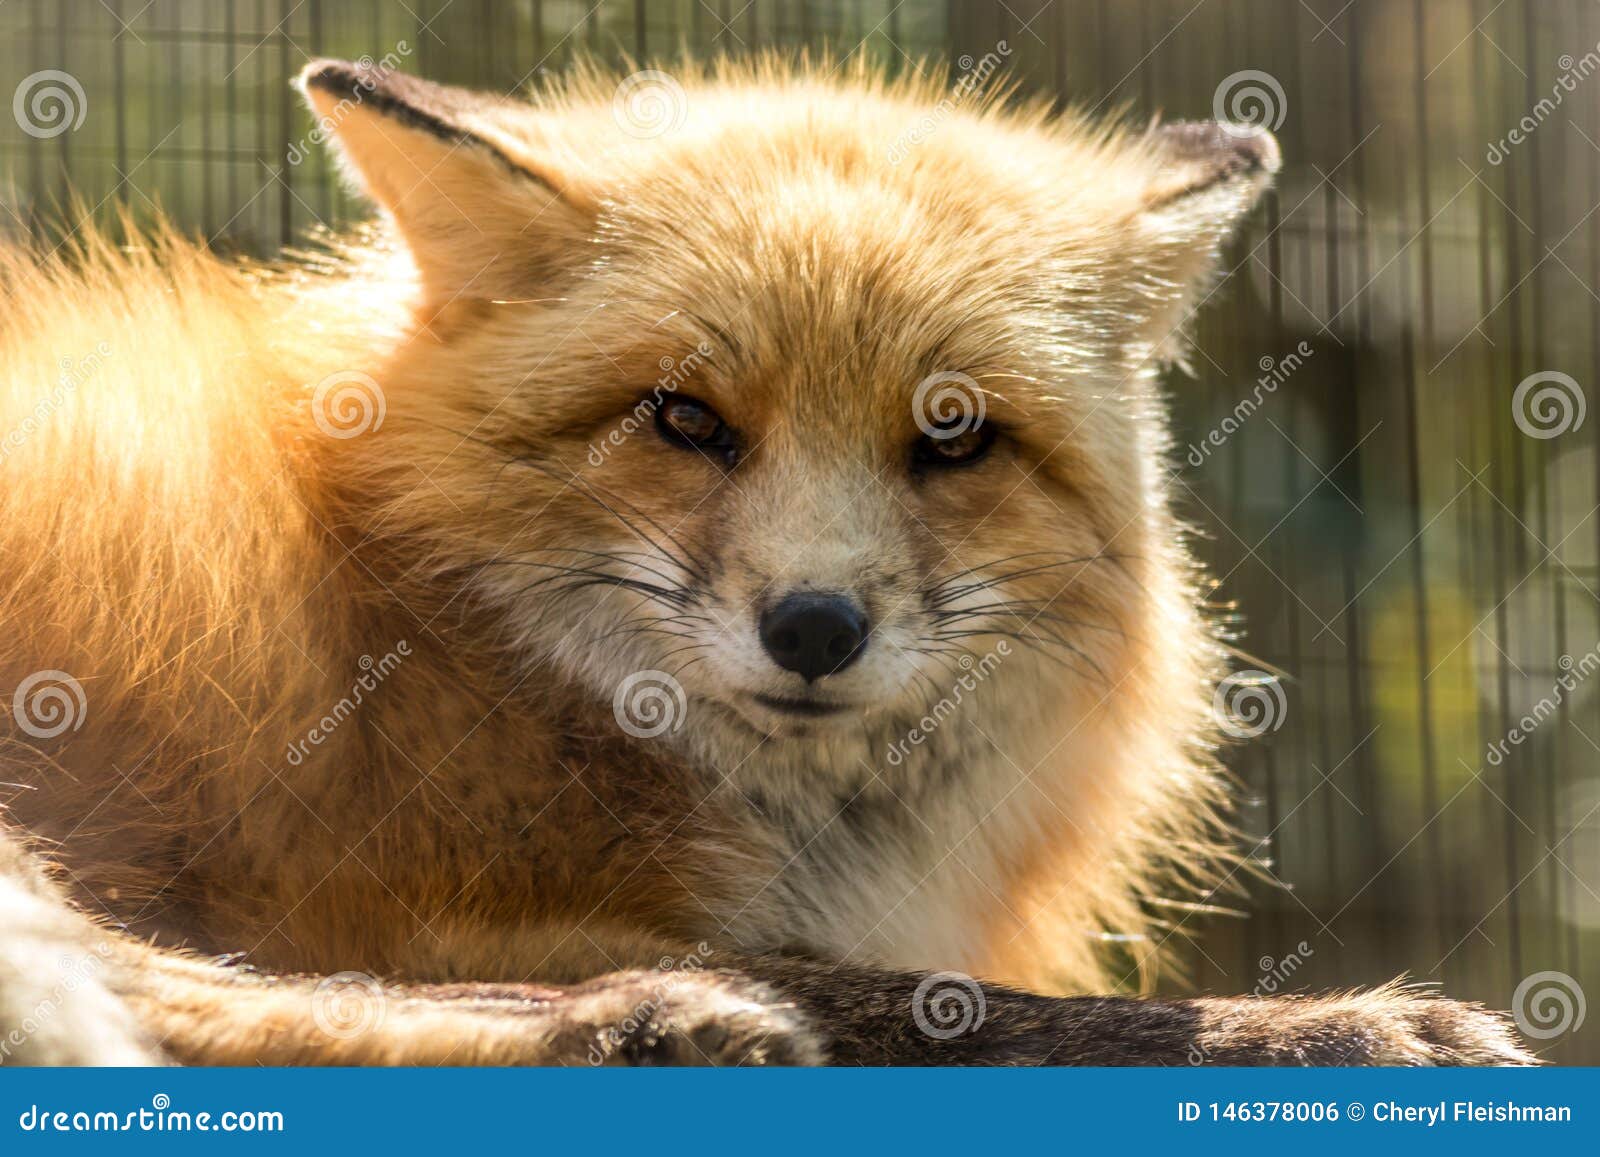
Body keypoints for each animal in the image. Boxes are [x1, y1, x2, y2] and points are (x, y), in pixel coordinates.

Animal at [0, 55, 1532, 1066]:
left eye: (953, 433)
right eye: (685, 419)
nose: (812, 626)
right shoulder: (400, 901)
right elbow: (923, 1001)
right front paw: (1318, 1029)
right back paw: (635, 1025)